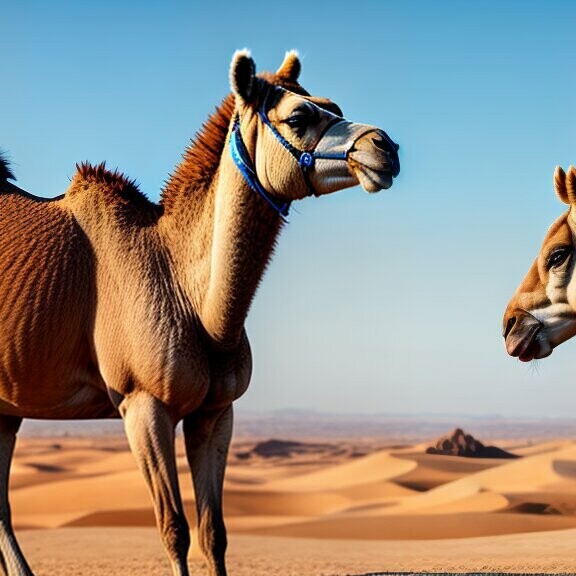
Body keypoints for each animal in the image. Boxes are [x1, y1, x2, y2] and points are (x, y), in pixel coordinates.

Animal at [0, 50, 400, 576]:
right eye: (298, 116)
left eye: (334, 105)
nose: (385, 147)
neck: (192, 299)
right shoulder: (142, 405)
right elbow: (174, 529)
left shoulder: (215, 412)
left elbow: (215, 533)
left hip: (6, 409)